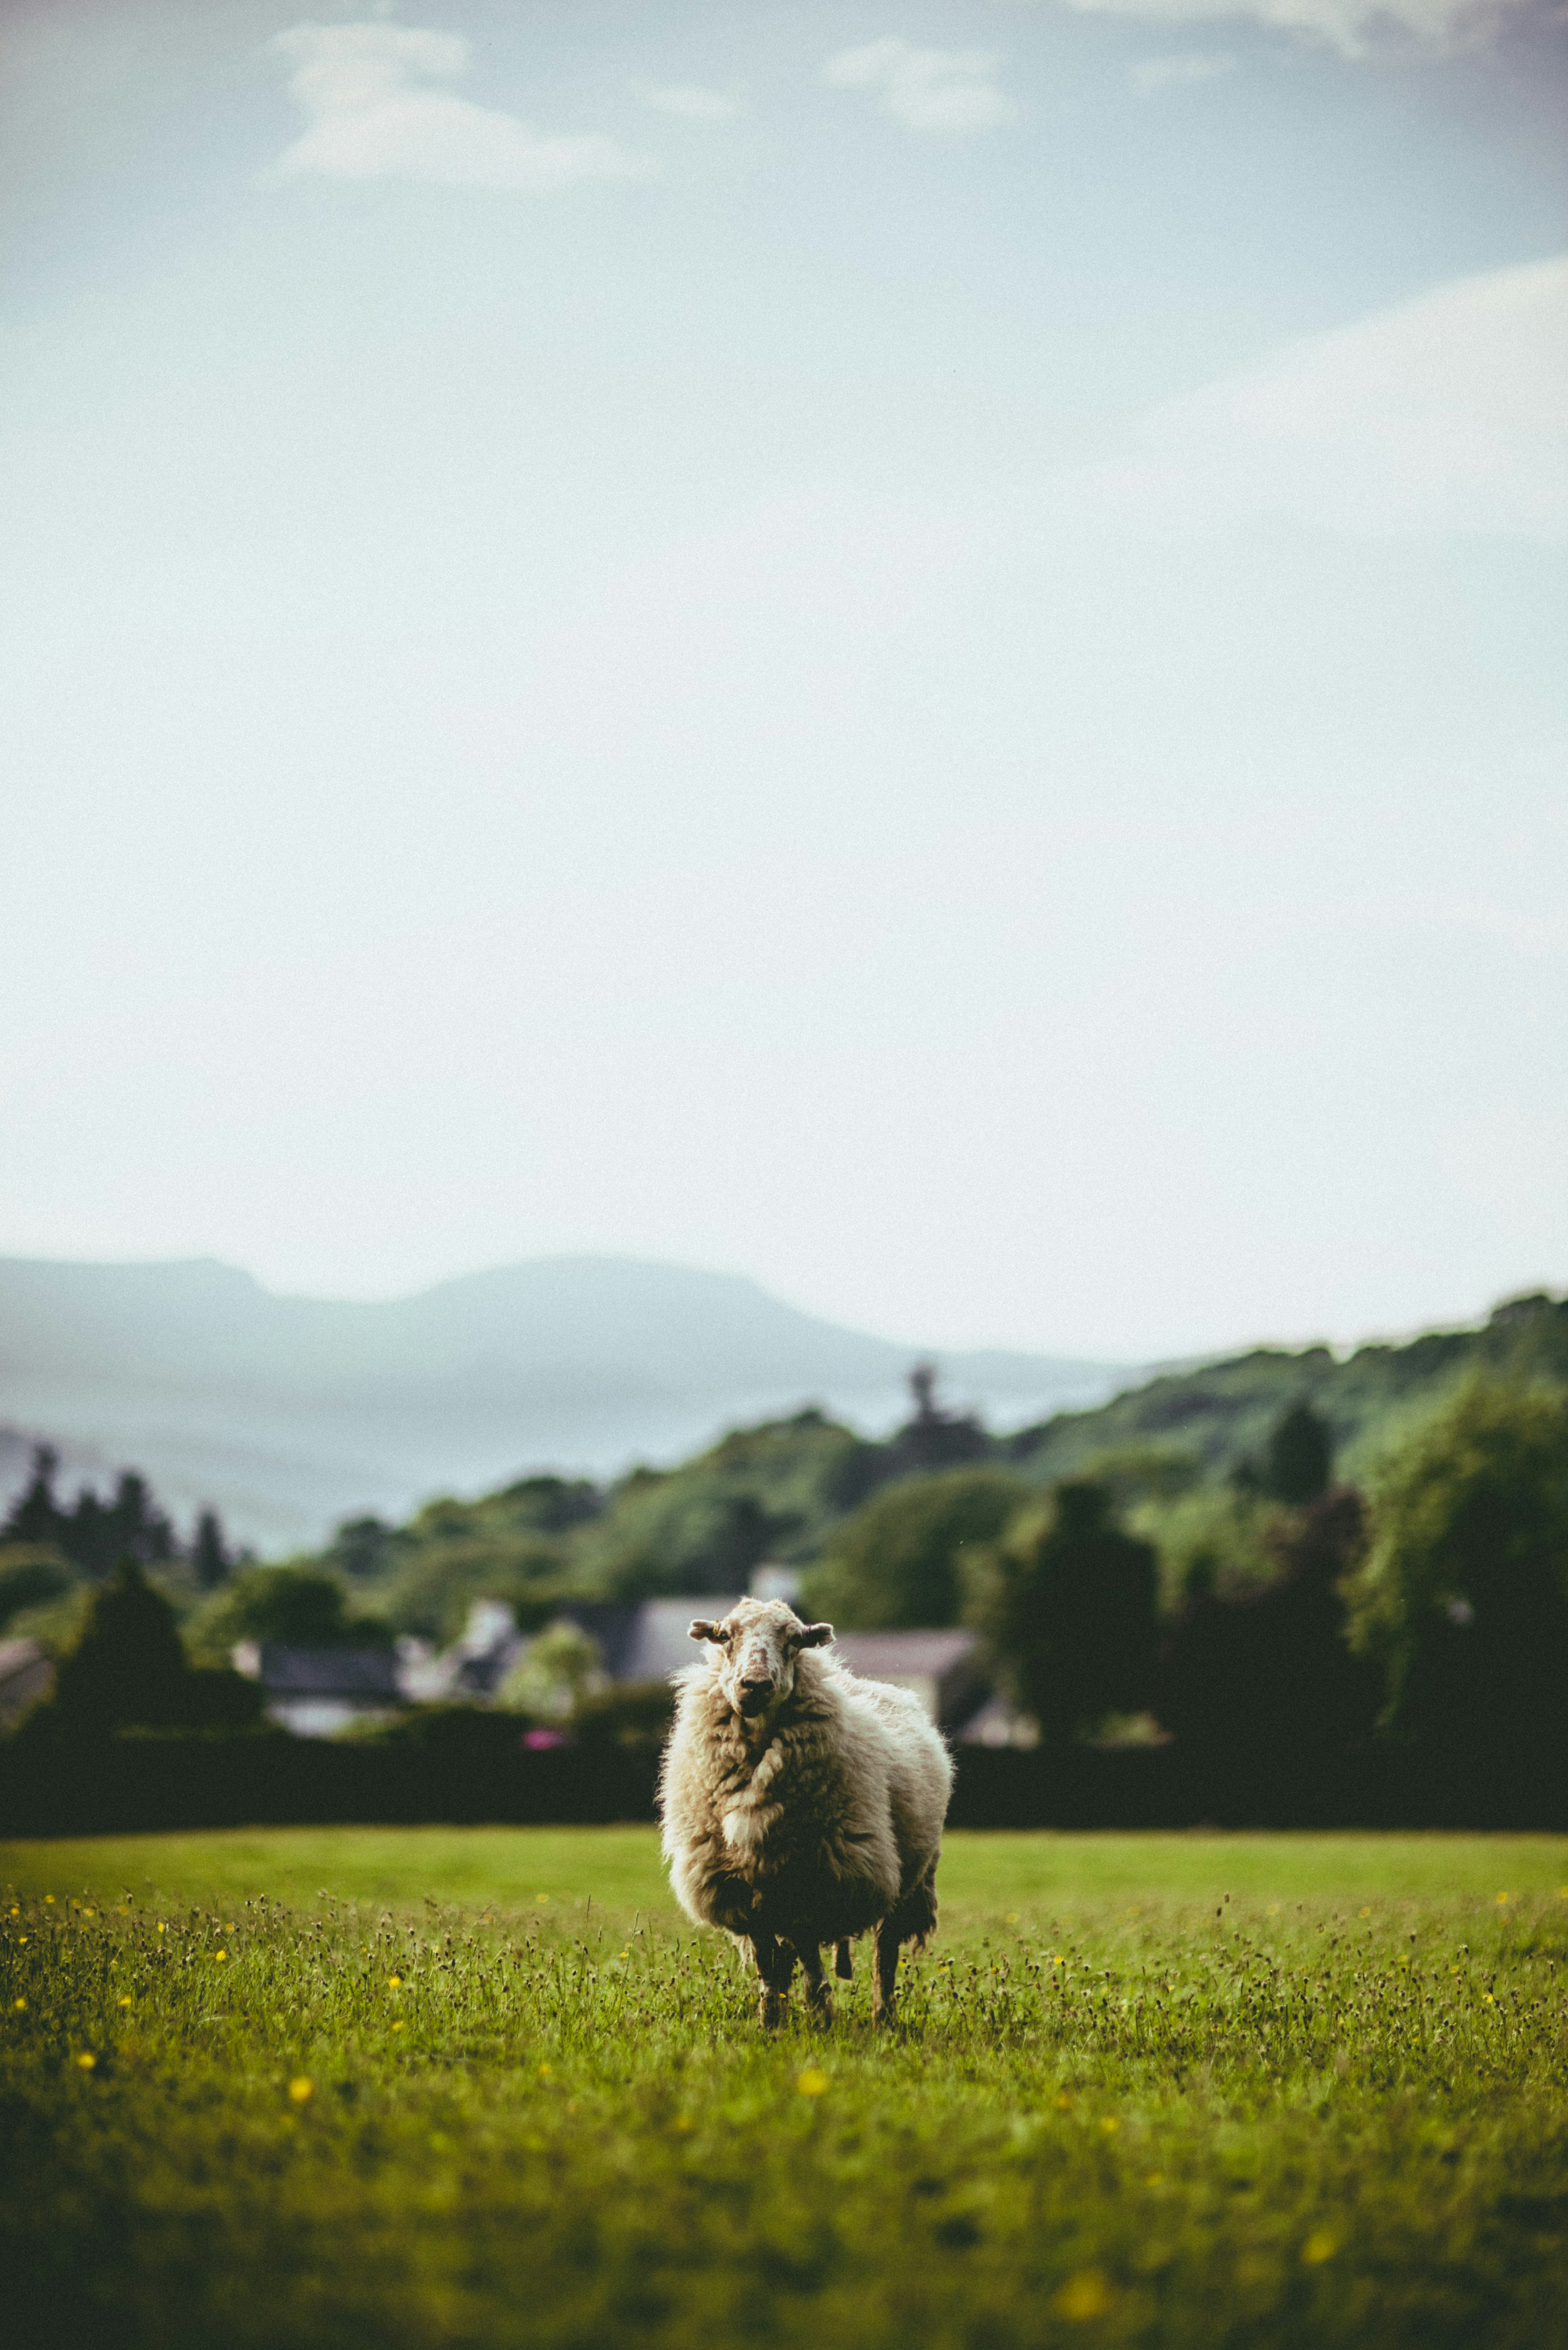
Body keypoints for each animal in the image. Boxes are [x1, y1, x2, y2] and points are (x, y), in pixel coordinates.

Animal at [659, 1596, 953, 2027]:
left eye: (795, 1641)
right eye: (725, 1636)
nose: (755, 1686)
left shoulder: (814, 1881)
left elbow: (810, 1957)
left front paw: (819, 2016)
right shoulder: (743, 1888)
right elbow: (767, 1960)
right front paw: (770, 2021)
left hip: (910, 1880)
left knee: (884, 1955)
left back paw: (883, 2017)